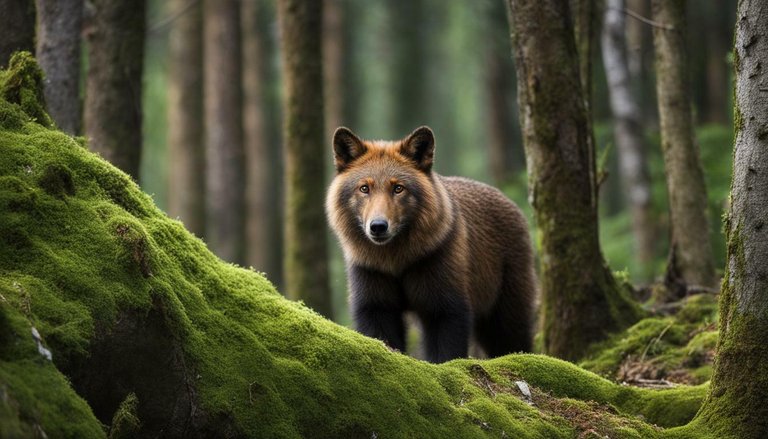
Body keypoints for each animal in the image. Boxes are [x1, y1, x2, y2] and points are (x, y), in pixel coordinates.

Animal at [325, 126, 536, 363]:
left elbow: (445, 347)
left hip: (504, 300)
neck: (396, 262)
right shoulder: (374, 293)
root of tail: (509, 201)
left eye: (398, 188)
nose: (378, 226)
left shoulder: (442, 297)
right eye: (364, 188)